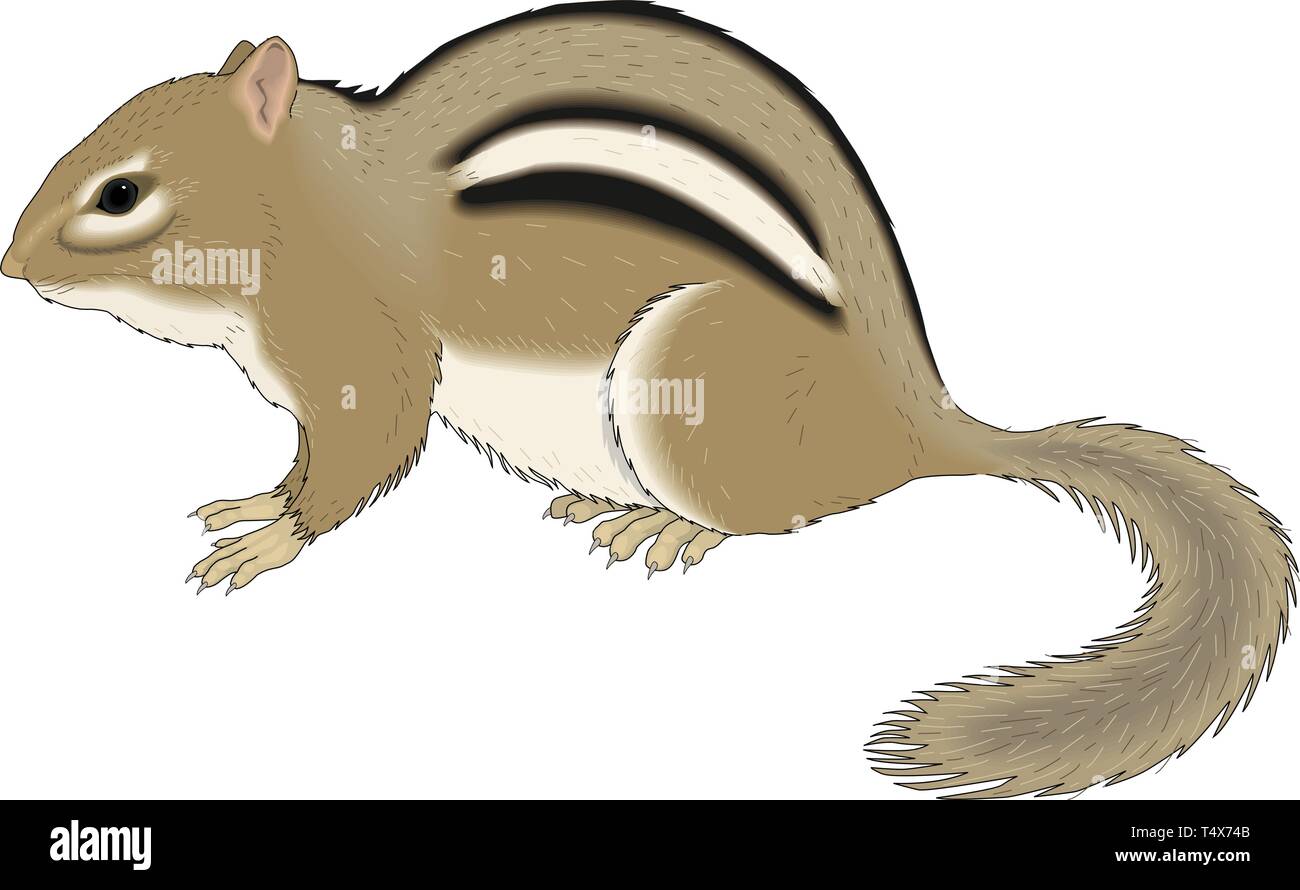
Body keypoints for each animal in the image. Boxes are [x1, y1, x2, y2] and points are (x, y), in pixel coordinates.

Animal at [3, 1, 1294, 798]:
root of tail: (913, 415)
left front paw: (272, 537)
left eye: (121, 193)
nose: (10, 264)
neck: (313, 200)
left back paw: (667, 526)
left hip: (693, 386)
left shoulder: (362, 347)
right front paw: (259, 499)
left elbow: (366, 449)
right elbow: (307, 457)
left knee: (769, 521)